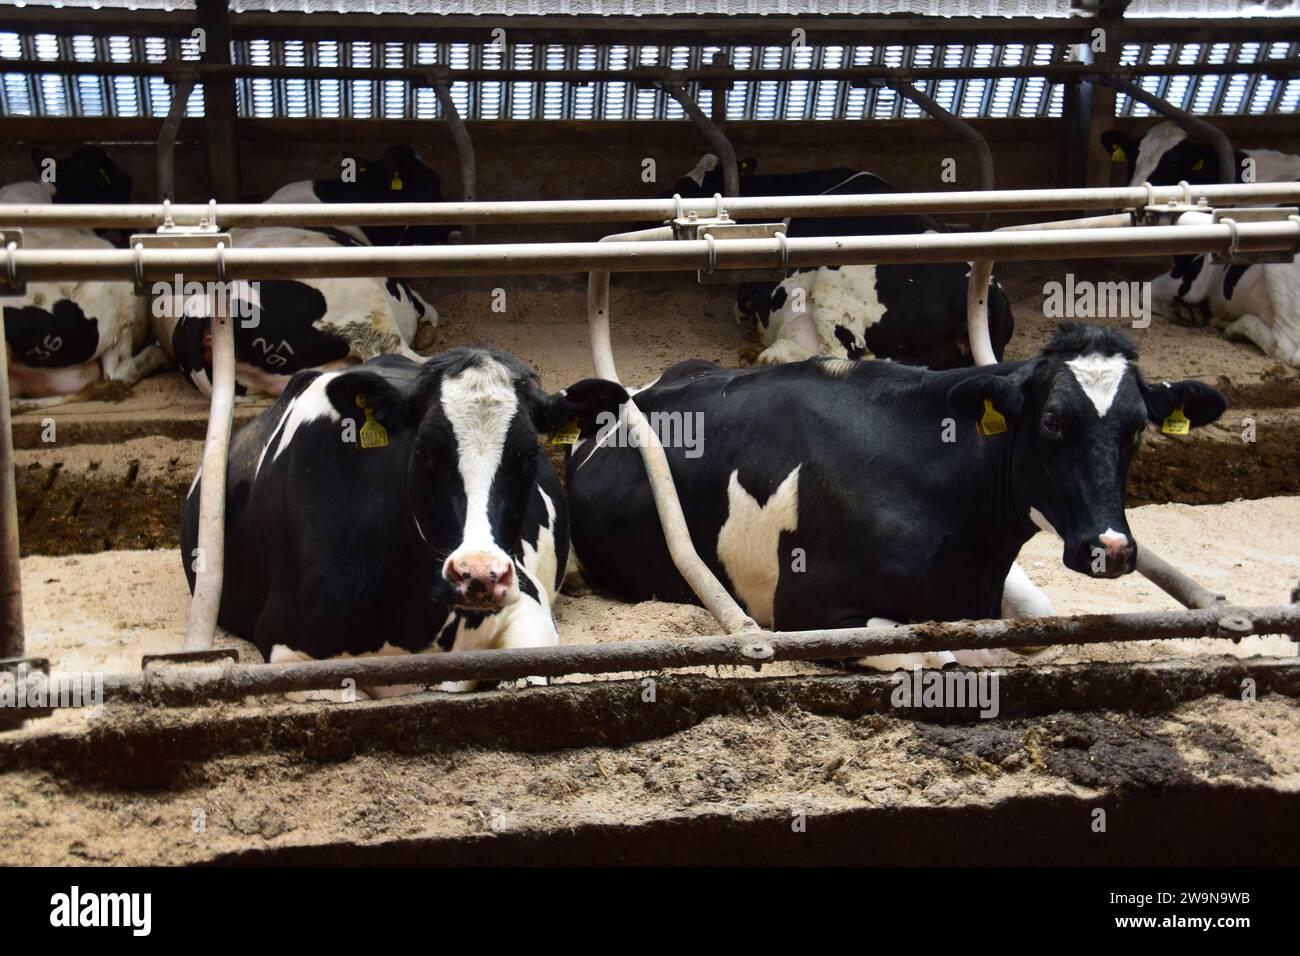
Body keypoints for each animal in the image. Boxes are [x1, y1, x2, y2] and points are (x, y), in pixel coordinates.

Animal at [566, 323, 1227, 670]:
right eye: (1051, 423)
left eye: (1138, 428)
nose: (1110, 548)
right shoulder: (806, 610)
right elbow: (938, 658)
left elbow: (1041, 616)